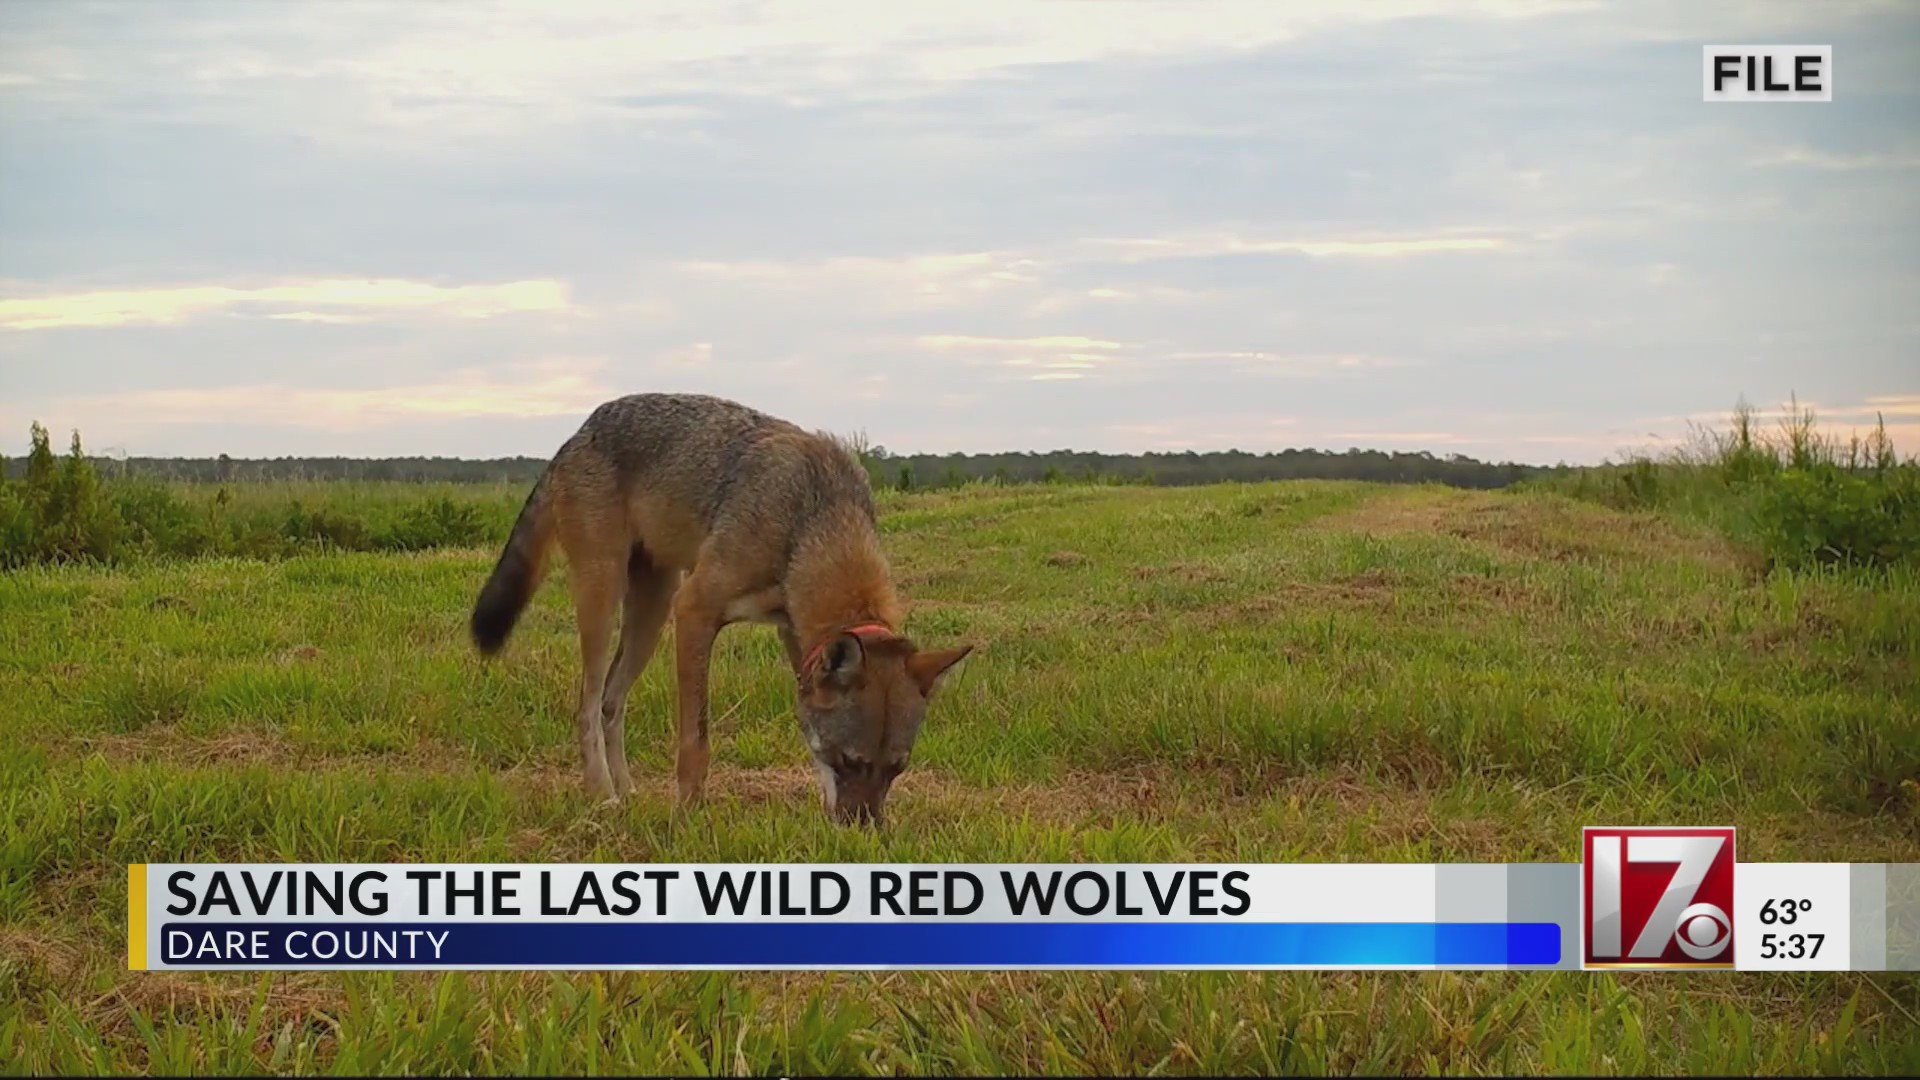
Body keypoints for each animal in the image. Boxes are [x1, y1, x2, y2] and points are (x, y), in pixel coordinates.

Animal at [468, 393, 972, 825]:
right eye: (851, 760)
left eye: (896, 769)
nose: (861, 832)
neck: (810, 519)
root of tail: (579, 432)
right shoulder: (695, 610)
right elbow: (697, 741)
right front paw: (688, 817)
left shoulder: (794, 634)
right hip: (606, 602)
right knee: (587, 707)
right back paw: (601, 796)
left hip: (650, 617)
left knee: (612, 702)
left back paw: (628, 794)